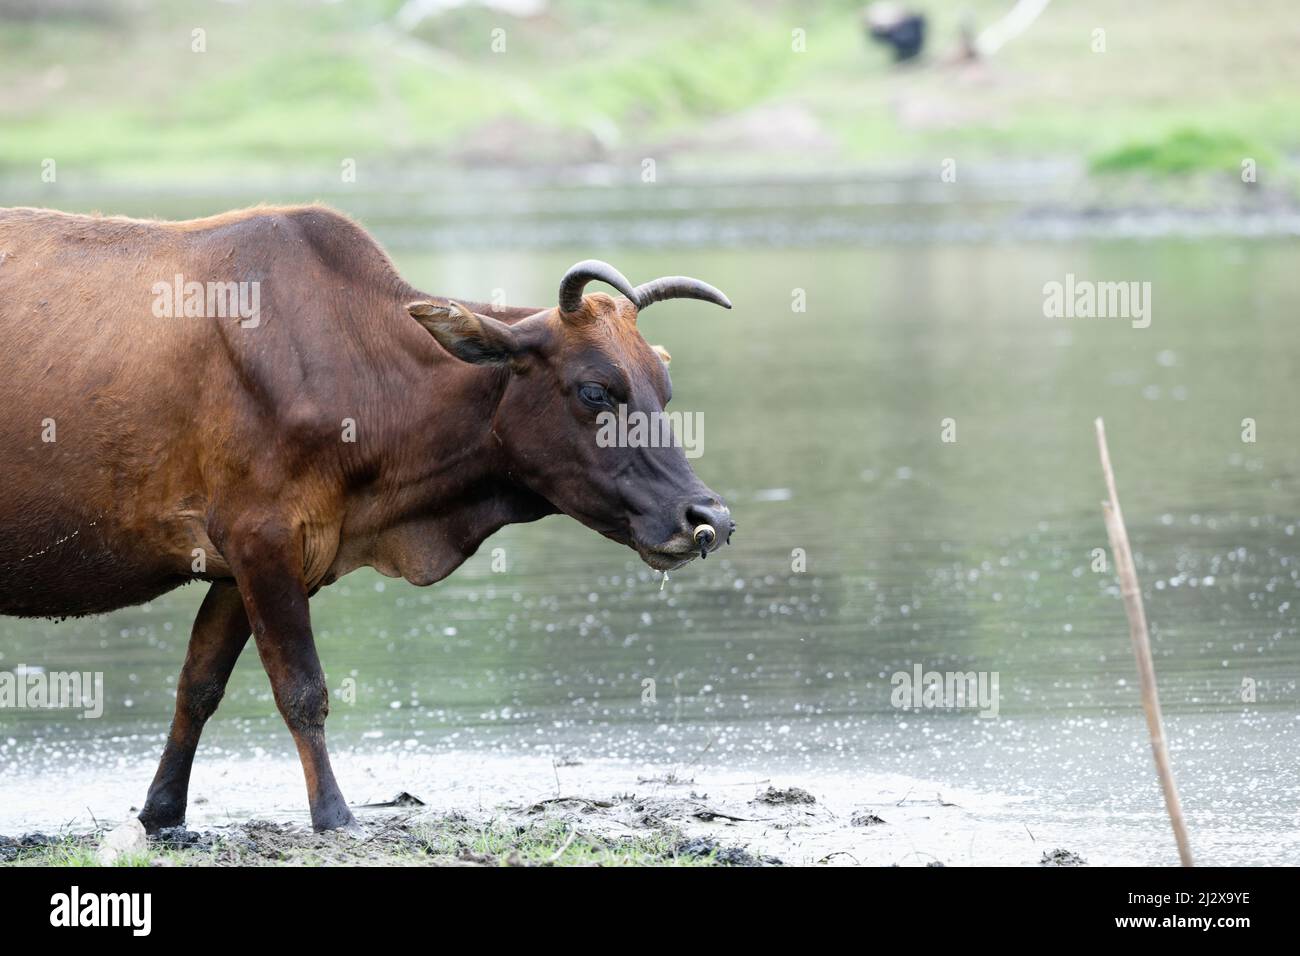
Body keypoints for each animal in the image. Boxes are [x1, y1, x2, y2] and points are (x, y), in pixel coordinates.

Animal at [0, 205, 734, 832]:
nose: (709, 517)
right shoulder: (260, 537)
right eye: (594, 390)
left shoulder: (240, 562)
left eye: (664, 390)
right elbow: (302, 688)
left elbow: (198, 687)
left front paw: (162, 812)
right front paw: (334, 814)